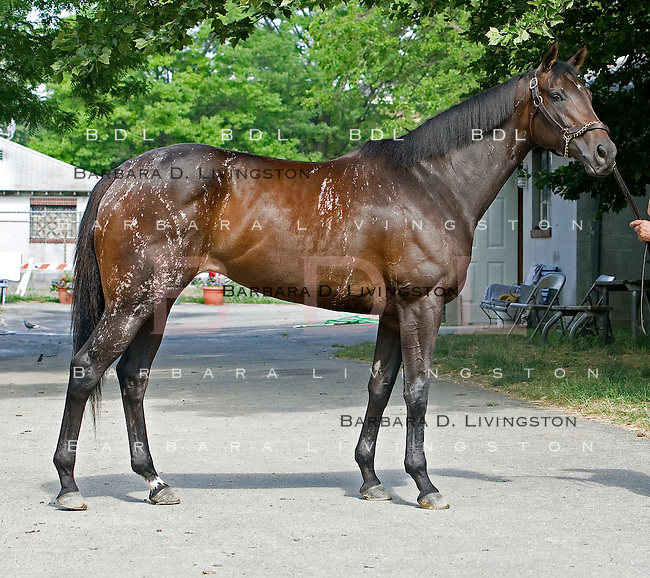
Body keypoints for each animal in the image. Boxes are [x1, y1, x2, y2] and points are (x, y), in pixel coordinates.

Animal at [54, 42, 616, 510]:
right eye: (557, 95)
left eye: (588, 93)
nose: (605, 154)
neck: (428, 183)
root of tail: (122, 174)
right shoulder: (422, 304)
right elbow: (416, 391)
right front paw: (424, 484)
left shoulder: (394, 314)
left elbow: (380, 388)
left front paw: (371, 479)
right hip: (135, 300)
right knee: (86, 368)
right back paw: (69, 486)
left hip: (158, 302)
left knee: (132, 377)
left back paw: (155, 482)